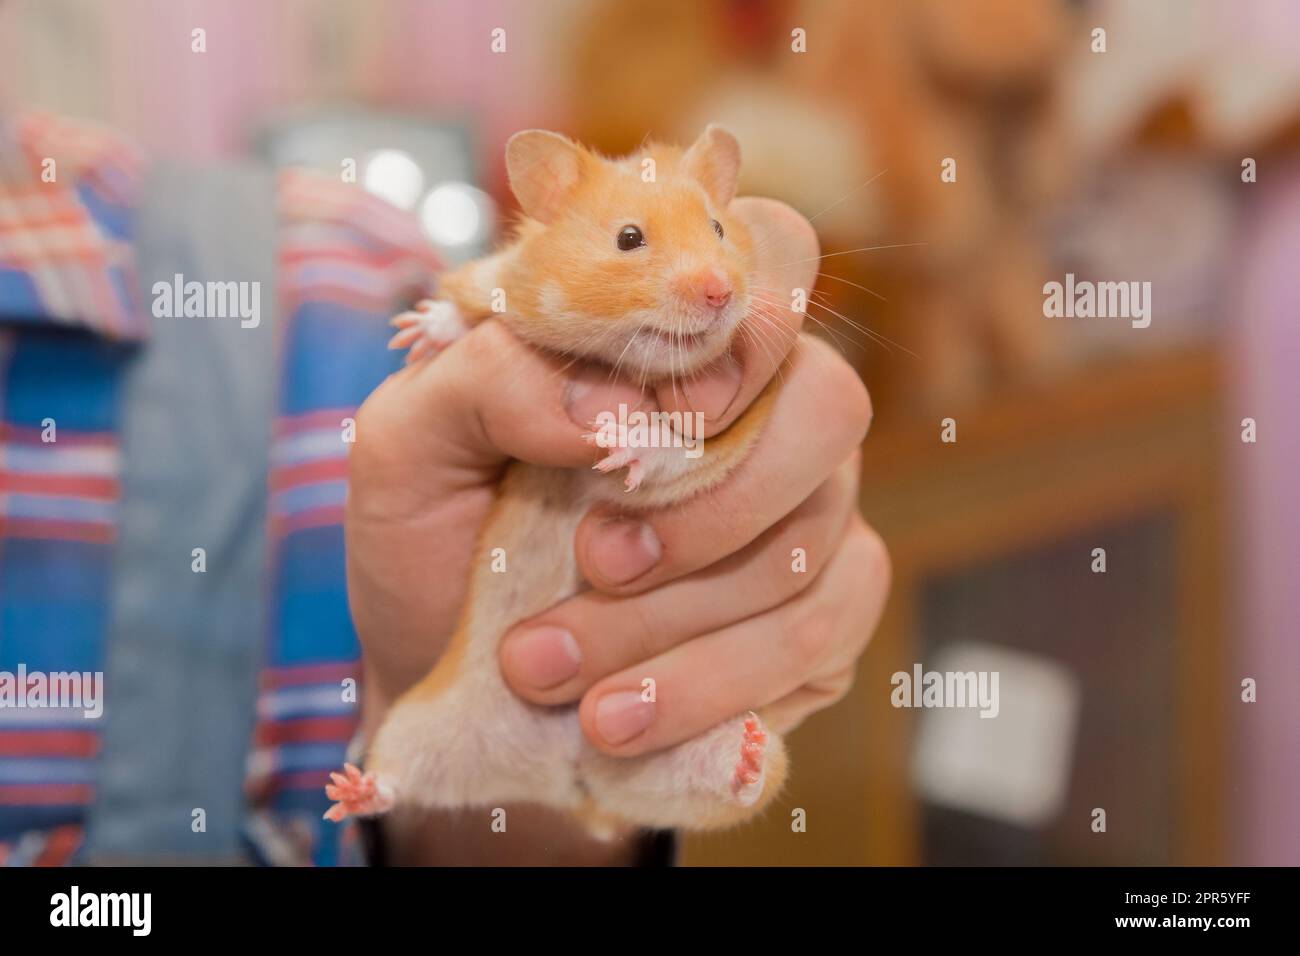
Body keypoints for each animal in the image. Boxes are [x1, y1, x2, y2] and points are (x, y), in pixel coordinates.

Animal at [325, 126, 790, 836]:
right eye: (629, 237)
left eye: (718, 227)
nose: (720, 293)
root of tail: (568, 785)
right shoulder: (497, 278)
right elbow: (467, 306)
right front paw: (419, 334)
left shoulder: (737, 425)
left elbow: (680, 450)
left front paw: (621, 440)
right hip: (417, 724)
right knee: (398, 780)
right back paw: (349, 792)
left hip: (657, 764)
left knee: (725, 788)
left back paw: (748, 754)